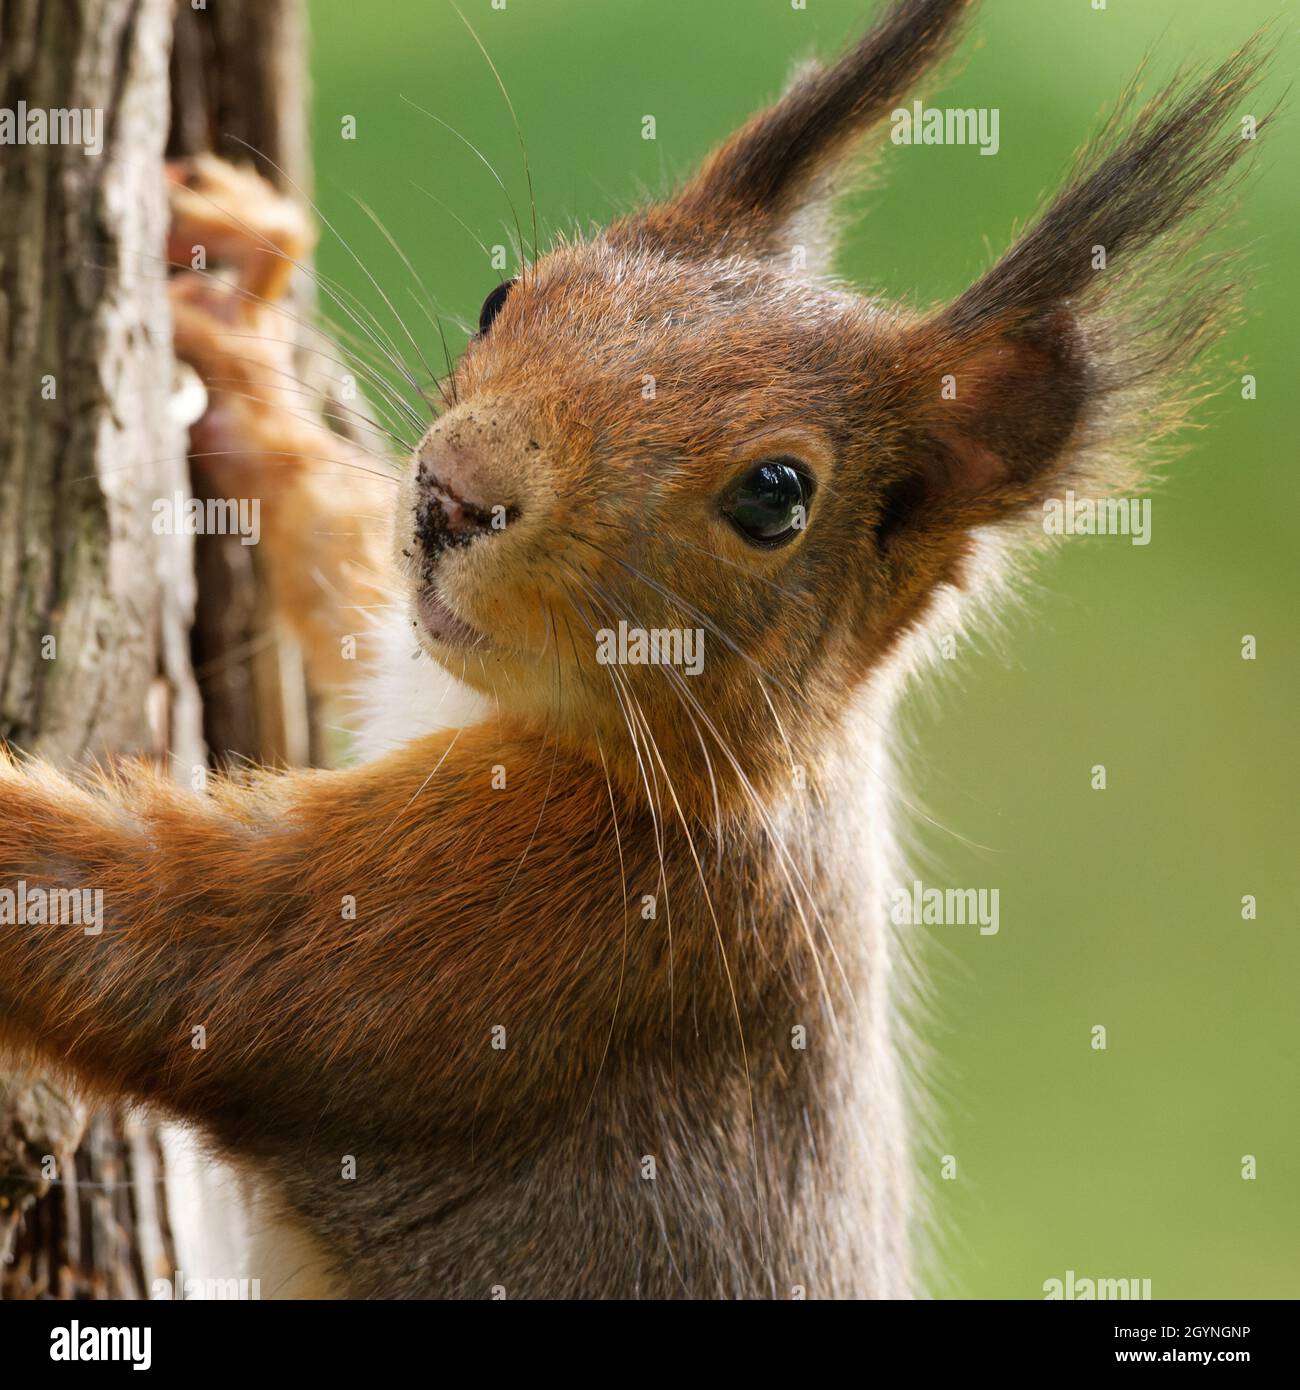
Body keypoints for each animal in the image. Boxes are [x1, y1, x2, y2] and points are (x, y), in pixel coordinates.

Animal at [0, 0, 1269, 1298]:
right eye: (504, 295)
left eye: (774, 495)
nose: (451, 494)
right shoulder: (415, 654)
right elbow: (344, 561)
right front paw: (229, 308)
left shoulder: (537, 933)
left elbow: (168, 931)